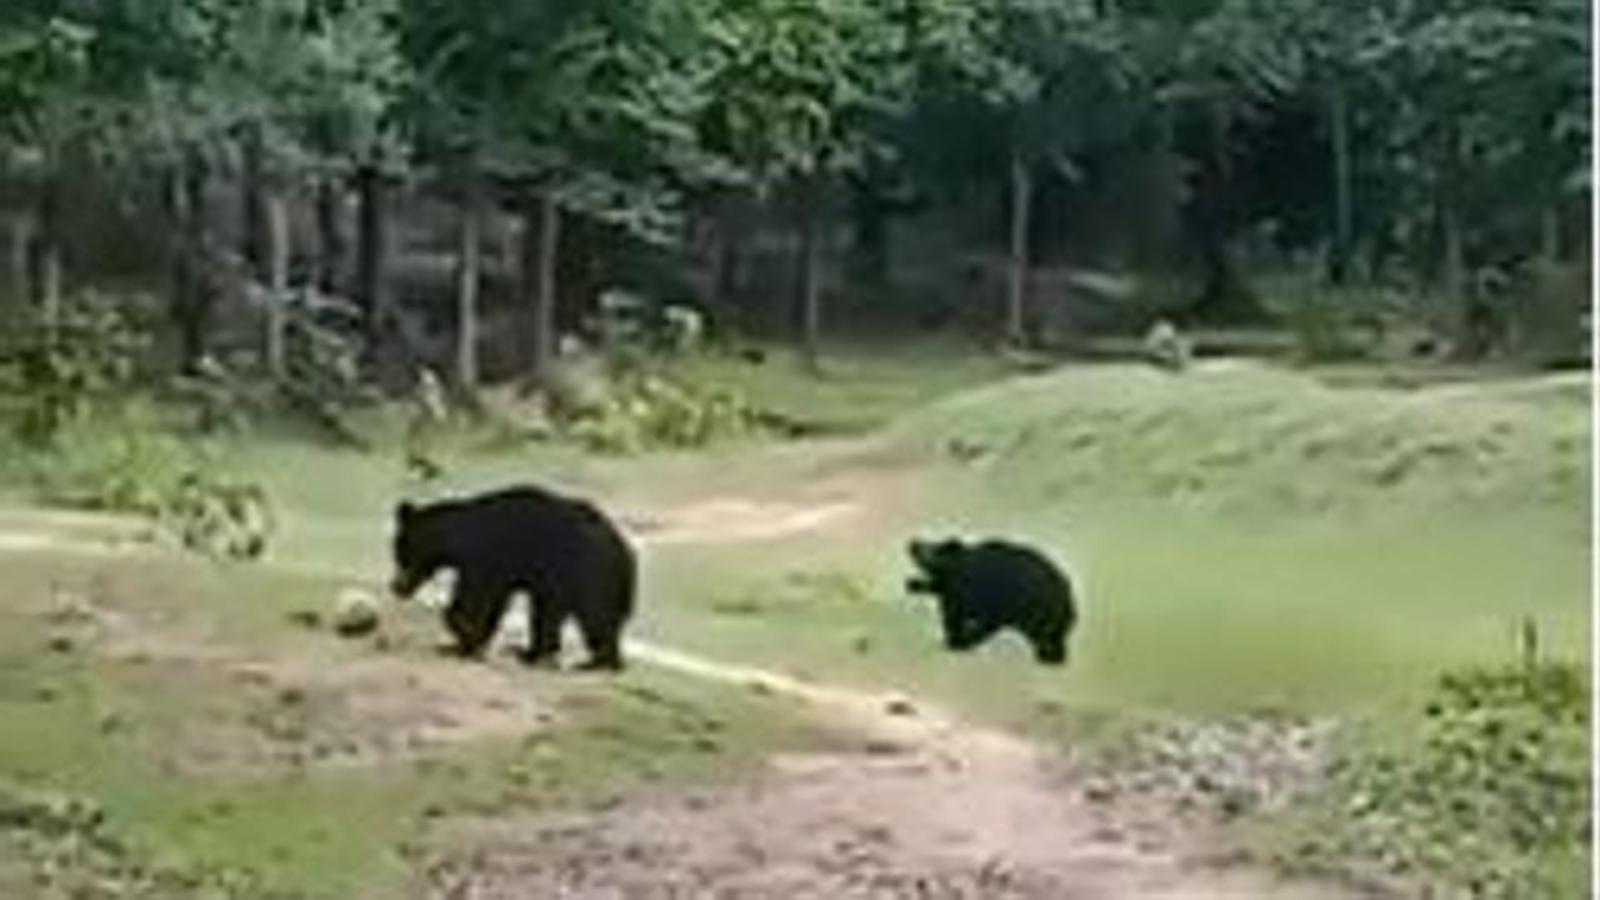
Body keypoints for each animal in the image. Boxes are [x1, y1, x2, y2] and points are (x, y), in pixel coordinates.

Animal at [389, 484, 636, 671]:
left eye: (402, 553)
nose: (396, 586)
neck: (459, 539)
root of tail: (624, 551)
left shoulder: (486, 560)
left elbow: (474, 598)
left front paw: (462, 635)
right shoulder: (498, 572)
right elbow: (493, 605)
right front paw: (466, 643)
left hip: (587, 574)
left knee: (595, 617)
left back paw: (593, 662)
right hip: (565, 583)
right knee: (549, 615)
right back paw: (531, 653)